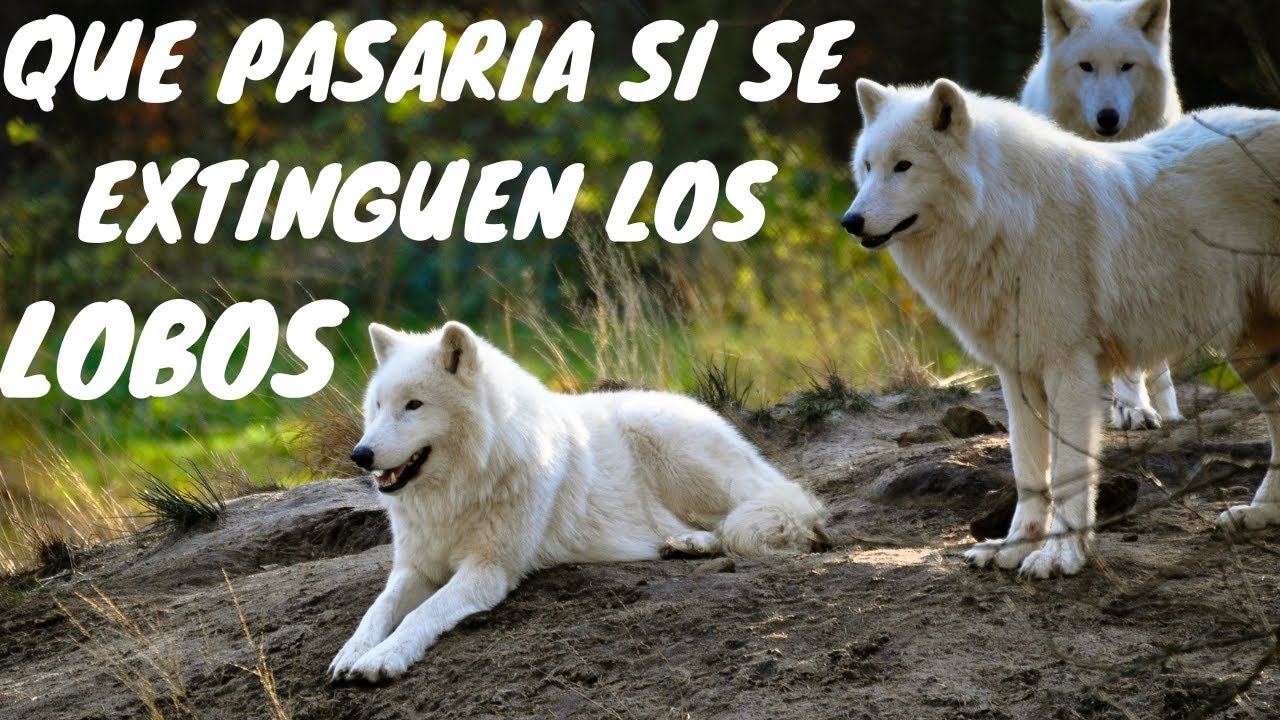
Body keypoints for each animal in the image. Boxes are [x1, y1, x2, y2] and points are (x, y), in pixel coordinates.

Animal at [328, 321, 826, 681]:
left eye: (413, 405)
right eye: (377, 406)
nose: (360, 455)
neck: (458, 490)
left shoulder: (489, 571)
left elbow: (421, 614)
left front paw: (382, 659)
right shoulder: (414, 567)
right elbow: (377, 610)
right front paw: (351, 653)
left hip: (672, 450)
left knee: (770, 514)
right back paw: (684, 544)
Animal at [841, 77, 1280, 577]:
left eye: (904, 166)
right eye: (868, 167)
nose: (850, 222)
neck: (1009, 218)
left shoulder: (1069, 368)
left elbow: (1069, 474)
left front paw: (1061, 556)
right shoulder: (1017, 374)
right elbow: (1029, 473)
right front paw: (1013, 546)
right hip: (1246, 350)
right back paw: (1261, 513)